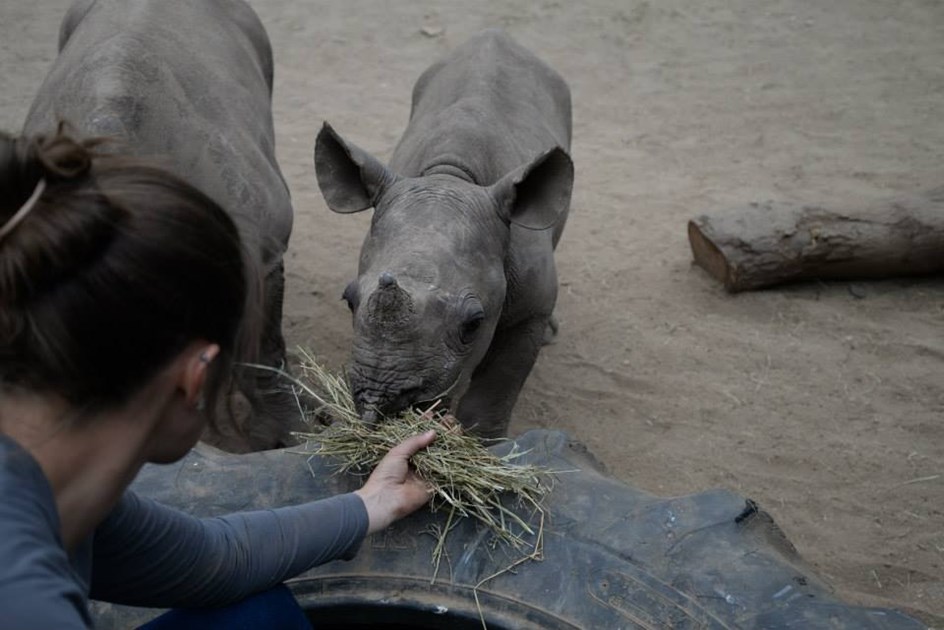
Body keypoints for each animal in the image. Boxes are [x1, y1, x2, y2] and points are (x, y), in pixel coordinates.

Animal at [314, 30, 573, 438]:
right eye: (349, 300)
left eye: (474, 324)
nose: (379, 403)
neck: (452, 177)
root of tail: (499, 36)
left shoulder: (530, 307)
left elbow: (497, 386)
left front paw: (484, 440)